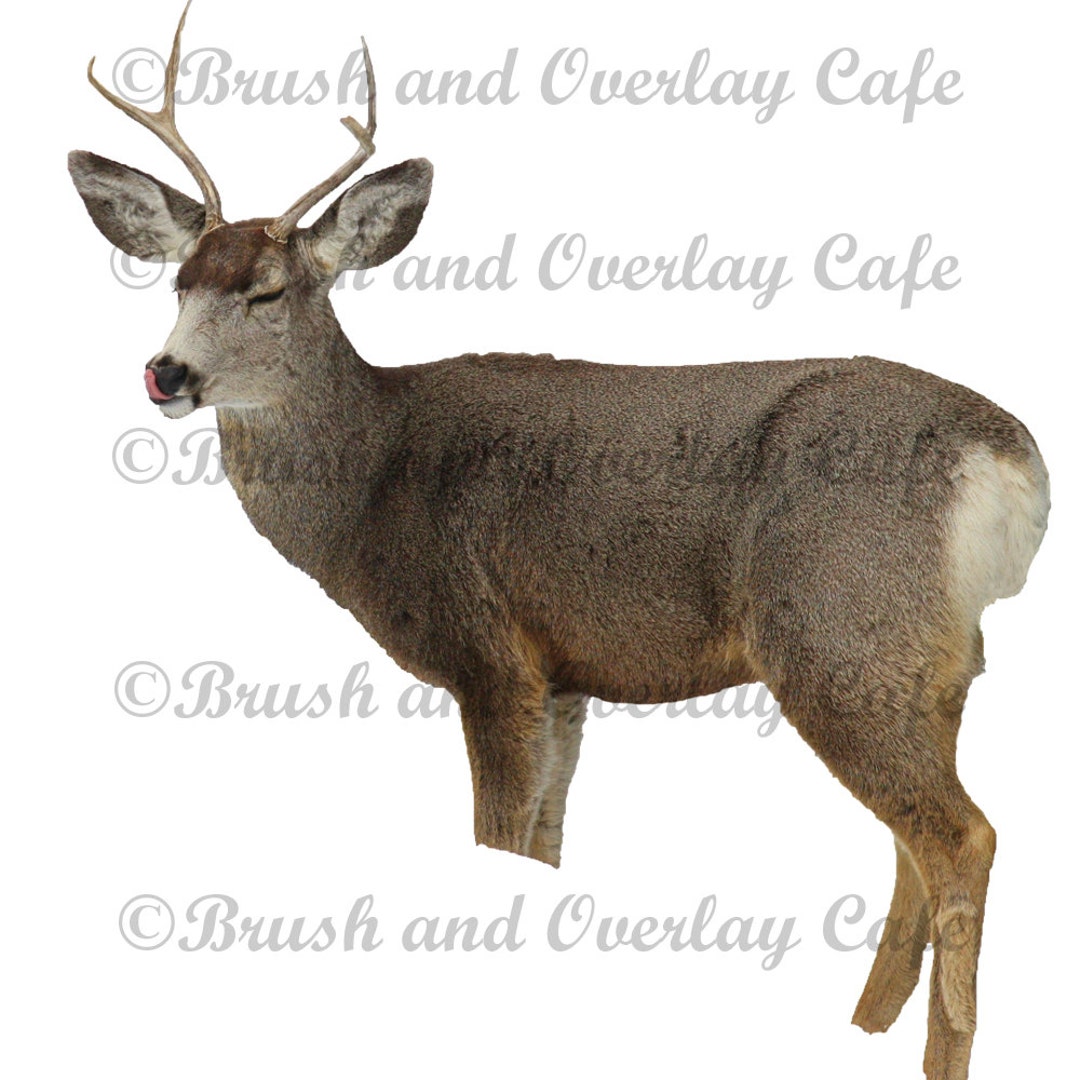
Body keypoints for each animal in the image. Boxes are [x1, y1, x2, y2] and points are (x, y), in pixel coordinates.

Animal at [69, 5, 1048, 1078]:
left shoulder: (487, 653)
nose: (165, 373)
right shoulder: (566, 672)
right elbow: (544, 845)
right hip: (932, 661)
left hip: (837, 627)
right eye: (177, 281)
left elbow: (495, 840)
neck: (375, 477)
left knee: (961, 834)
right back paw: (857, 1025)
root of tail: (1011, 464)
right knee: (913, 836)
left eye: (268, 291)